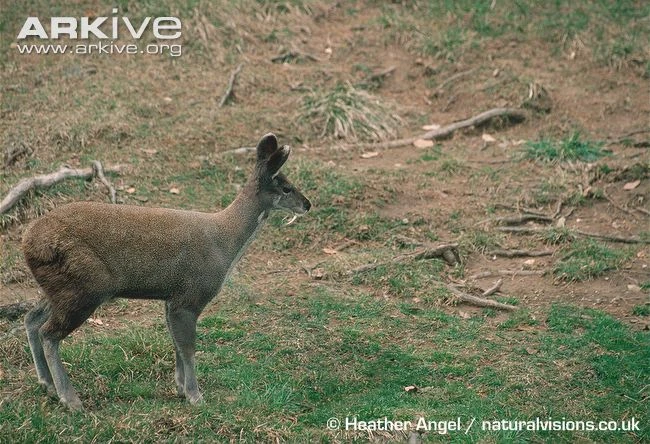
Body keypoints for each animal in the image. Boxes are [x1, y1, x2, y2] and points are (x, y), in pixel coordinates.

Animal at [22, 133, 311, 411]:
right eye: (286, 187)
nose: (307, 204)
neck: (224, 243)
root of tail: (28, 243)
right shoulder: (190, 296)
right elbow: (188, 347)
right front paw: (195, 395)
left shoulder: (171, 298)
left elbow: (176, 344)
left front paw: (181, 388)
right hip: (84, 286)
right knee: (49, 333)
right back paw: (70, 399)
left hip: (59, 287)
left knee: (31, 319)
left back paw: (47, 385)